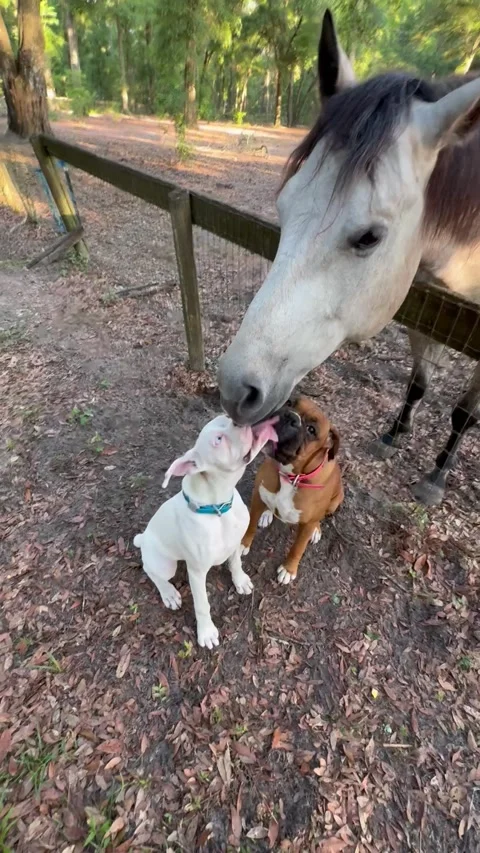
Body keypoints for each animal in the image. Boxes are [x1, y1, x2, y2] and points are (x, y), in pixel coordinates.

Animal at [218, 9, 480, 506]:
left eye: (368, 237)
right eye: (284, 206)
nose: (235, 389)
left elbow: (464, 411)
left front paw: (437, 474)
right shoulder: (427, 304)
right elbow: (419, 379)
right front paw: (396, 432)